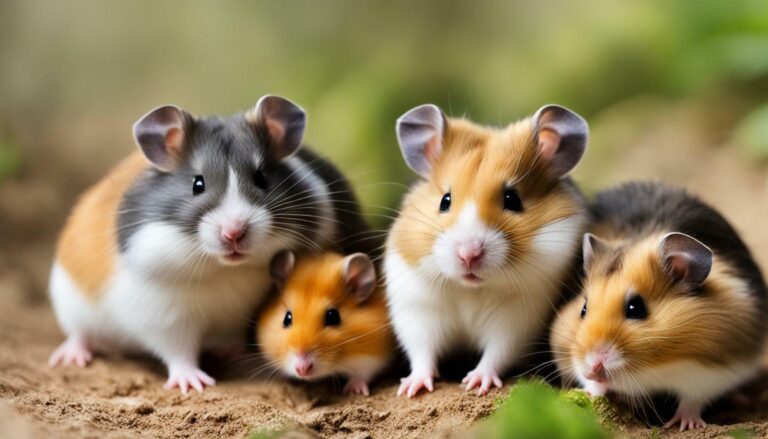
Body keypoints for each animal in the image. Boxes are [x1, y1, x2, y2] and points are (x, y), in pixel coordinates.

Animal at [48, 95, 372, 393]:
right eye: (197, 184)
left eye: (262, 178)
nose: (233, 234)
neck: (225, 270)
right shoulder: (163, 314)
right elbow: (178, 352)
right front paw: (193, 384)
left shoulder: (239, 312)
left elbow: (230, 336)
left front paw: (236, 354)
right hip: (70, 302)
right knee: (79, 333)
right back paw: (71, 358)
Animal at [257, 251, 394, 395]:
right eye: (287, 318)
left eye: (333, 316)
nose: (302, 369)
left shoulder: (372, 358)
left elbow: (361, 374)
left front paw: (354, 391)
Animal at [385, 103, 589, 397]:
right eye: (445, 200)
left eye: (512, 199)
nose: (468, 255)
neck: (471, 289)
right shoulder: (419, 311)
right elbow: (422, 351)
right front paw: (412, 389)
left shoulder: (516, 322)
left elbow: (496, 353)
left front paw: (475, 383)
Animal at [550, 182, 768, 431]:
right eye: (583, 309)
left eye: (635, 308)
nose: (593, 368)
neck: (658, 367)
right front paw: (592, 393)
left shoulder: (714, 372)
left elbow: (693, 399)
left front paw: (684, 424)